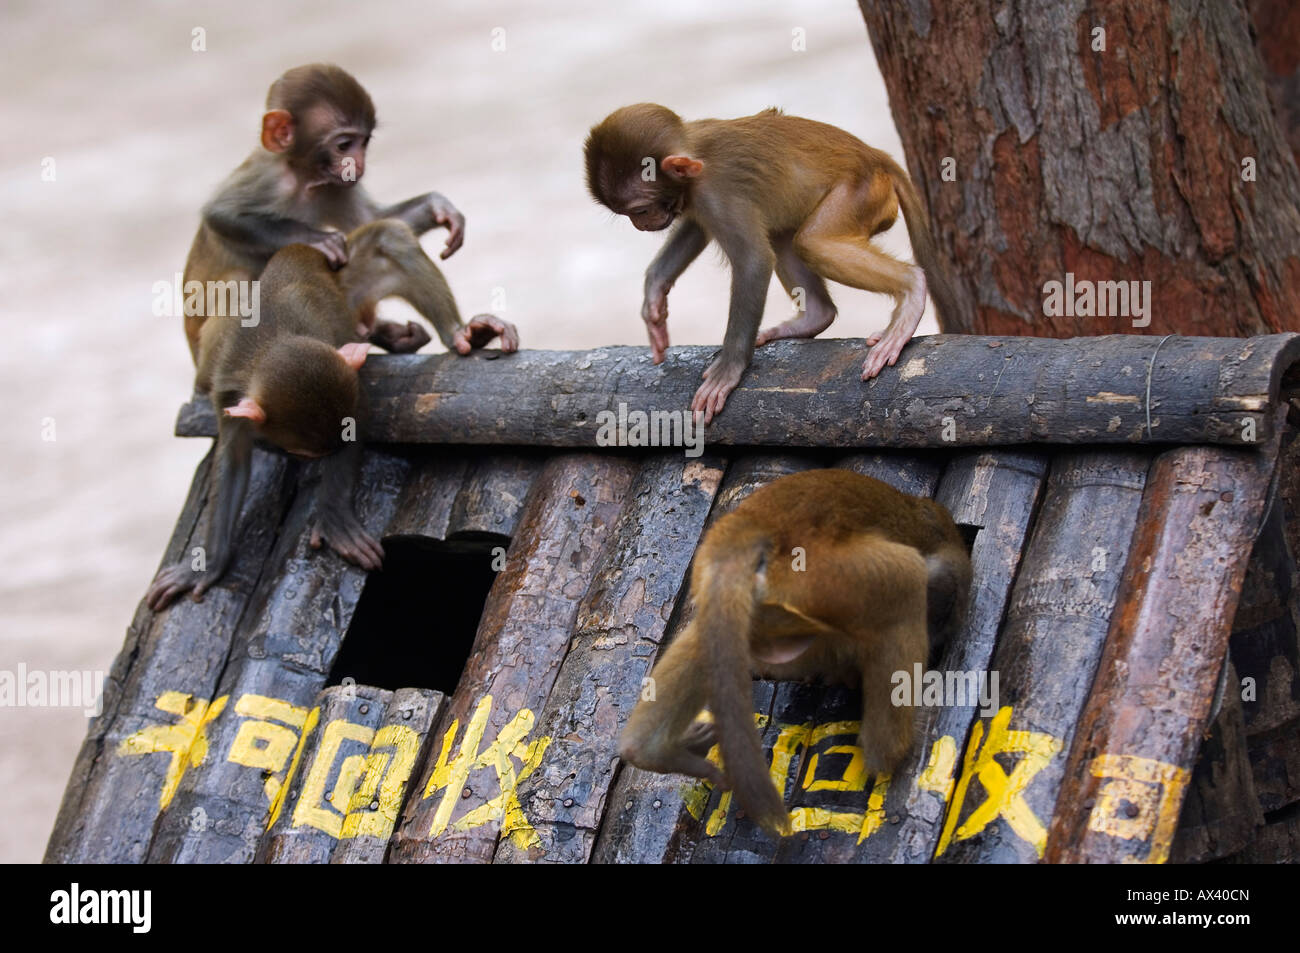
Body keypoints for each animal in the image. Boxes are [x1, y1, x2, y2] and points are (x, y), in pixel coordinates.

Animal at [182, 62, 516, 363]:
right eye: (344, 145)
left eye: (364, 142)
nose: (359, 163)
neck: (305, 179)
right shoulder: (267, 175)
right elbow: (221, 215)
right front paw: (318, 240)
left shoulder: (336, 186)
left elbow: (371, 220)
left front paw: (437, 207)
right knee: (236, 283)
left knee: (390, 236)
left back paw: (461, 334)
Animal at [584, 104, 958, 423]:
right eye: (630, 214)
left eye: (640, 209)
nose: (640, 224)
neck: (694, 148)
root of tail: (877, 157)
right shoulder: (692, 197)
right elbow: (696, 230)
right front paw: (654, 295)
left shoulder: (714, 192)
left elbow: (753, 260)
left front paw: (729, 369)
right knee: (784, 236)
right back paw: (814, 317)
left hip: (862, 193)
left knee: (812, 242)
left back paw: (911, 291)